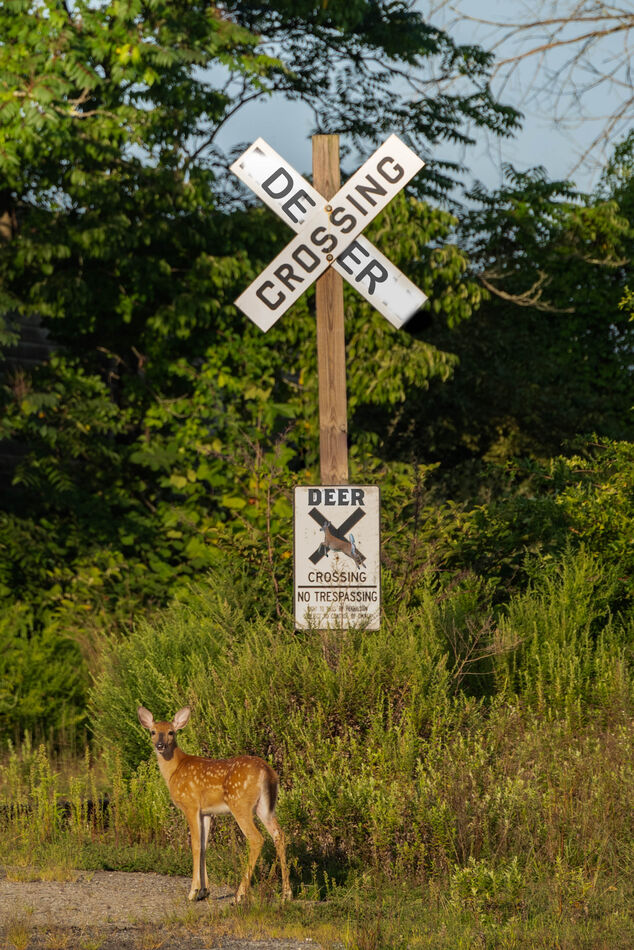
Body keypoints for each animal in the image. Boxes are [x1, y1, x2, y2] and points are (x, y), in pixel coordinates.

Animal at [137, 706, 292, 904]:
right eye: (153, 732)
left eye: (171, 732)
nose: (160, 745)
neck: (175, 769)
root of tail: (268, 771)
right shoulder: (206, 812)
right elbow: (204, 846)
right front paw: (205, 891)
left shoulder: (191, 805)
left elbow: (195, 845)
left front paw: (193, 891)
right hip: (265, 807)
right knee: (279, 834)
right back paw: (287, 894)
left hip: (240, 804)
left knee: (257, 839)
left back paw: (239, 895)